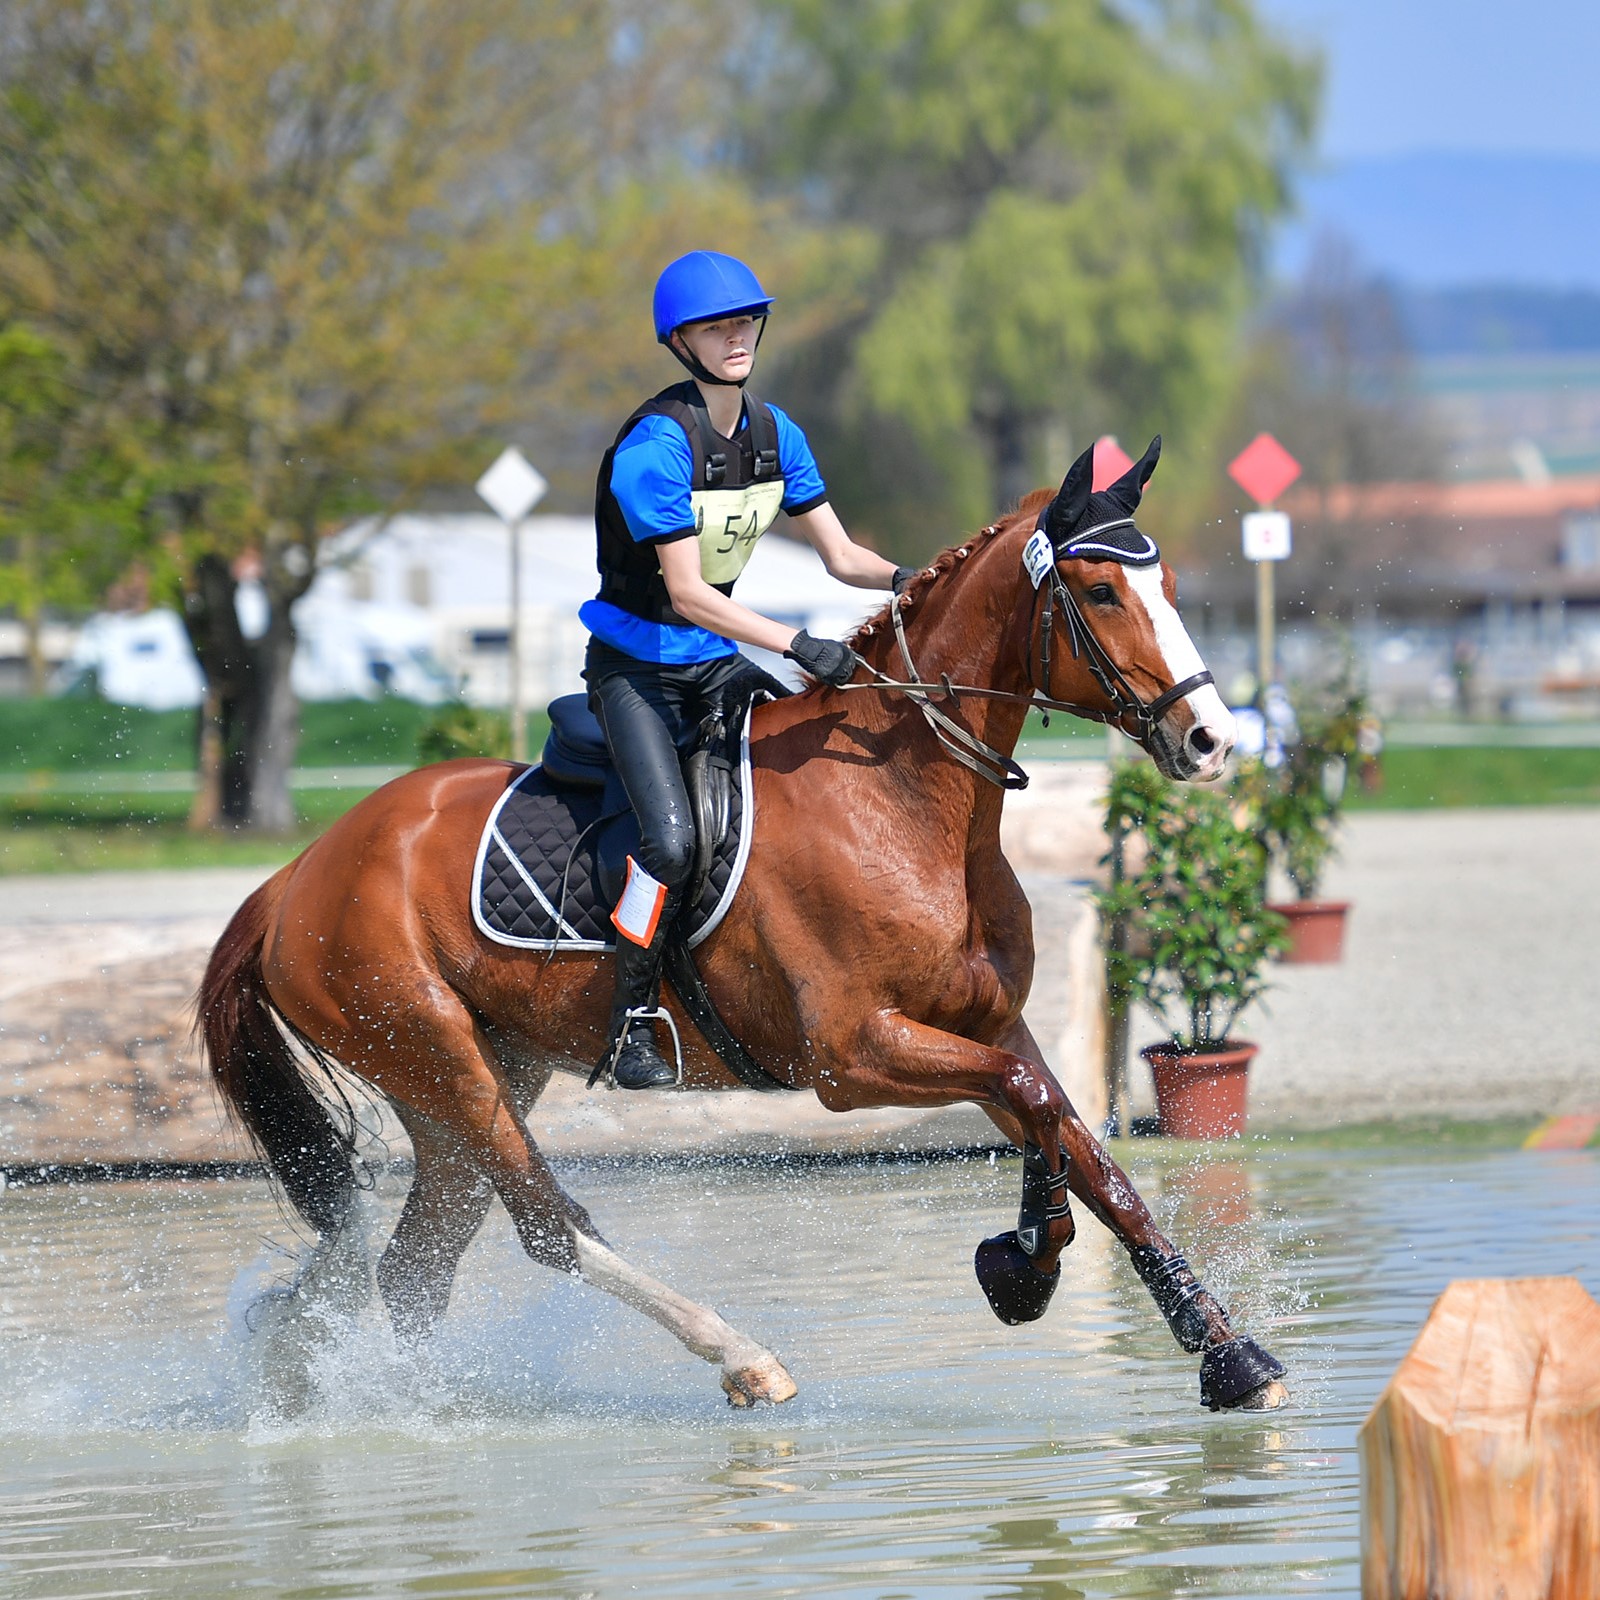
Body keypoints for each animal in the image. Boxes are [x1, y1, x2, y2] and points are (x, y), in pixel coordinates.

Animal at [200, 437, 1288, 1412]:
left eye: (1170, 583)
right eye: (1100, 593)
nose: (1210, 739)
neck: (906, 799)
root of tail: (296, 875)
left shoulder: (985, 1026)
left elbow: (1078, 1143)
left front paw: (1221, 1351)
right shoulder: (853, 1055)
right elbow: (1037, 1113)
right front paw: (1025, 1259)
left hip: (473, 1075)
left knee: (413, 1269)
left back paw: (344, 1382)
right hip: (446, 1066)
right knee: (547, 1227)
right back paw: (739, 1357)